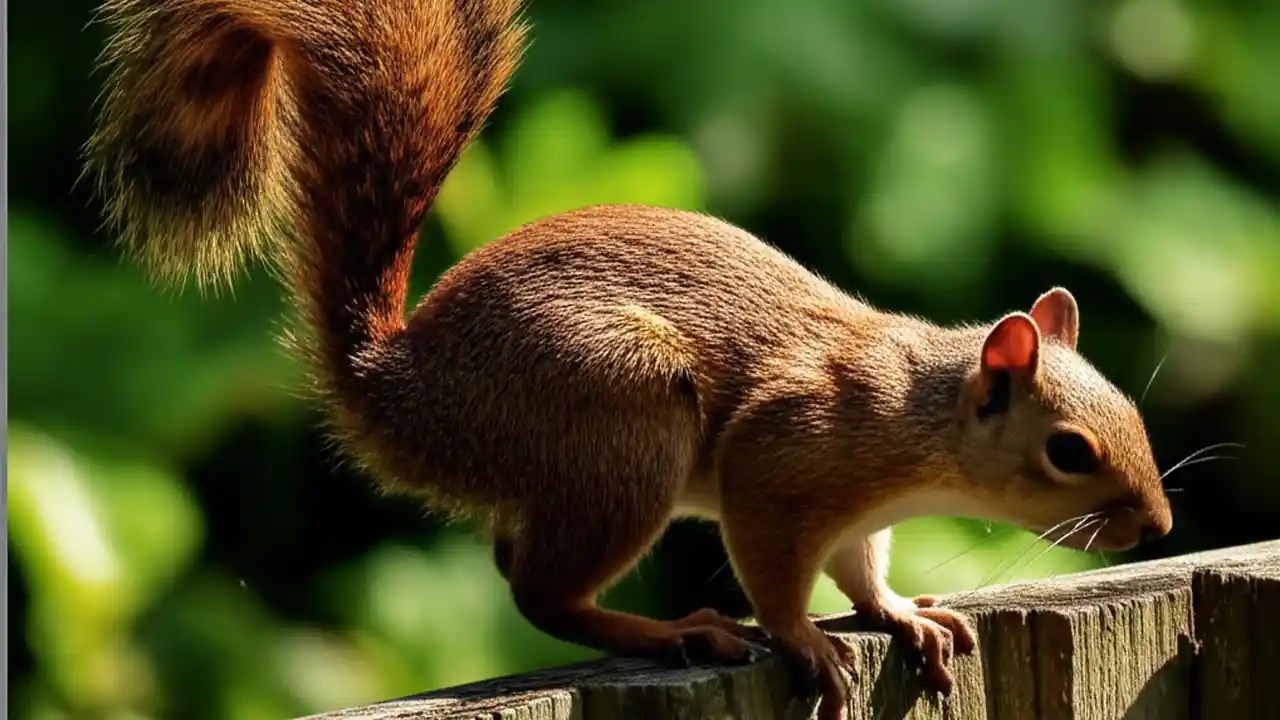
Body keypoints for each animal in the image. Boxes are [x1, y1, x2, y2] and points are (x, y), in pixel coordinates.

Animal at [85, 1, 1174, 718]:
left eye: (1133, 411)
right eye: (1070, 451)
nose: (1158, 525)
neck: (916, 412)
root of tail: (396, 392)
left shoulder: (860, 517)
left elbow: (861, 571)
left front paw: (902, 614)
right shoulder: (783, 460)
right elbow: (776, 572)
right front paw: (805, 643)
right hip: (622, 419)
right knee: (538, 592)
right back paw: (669, 631)